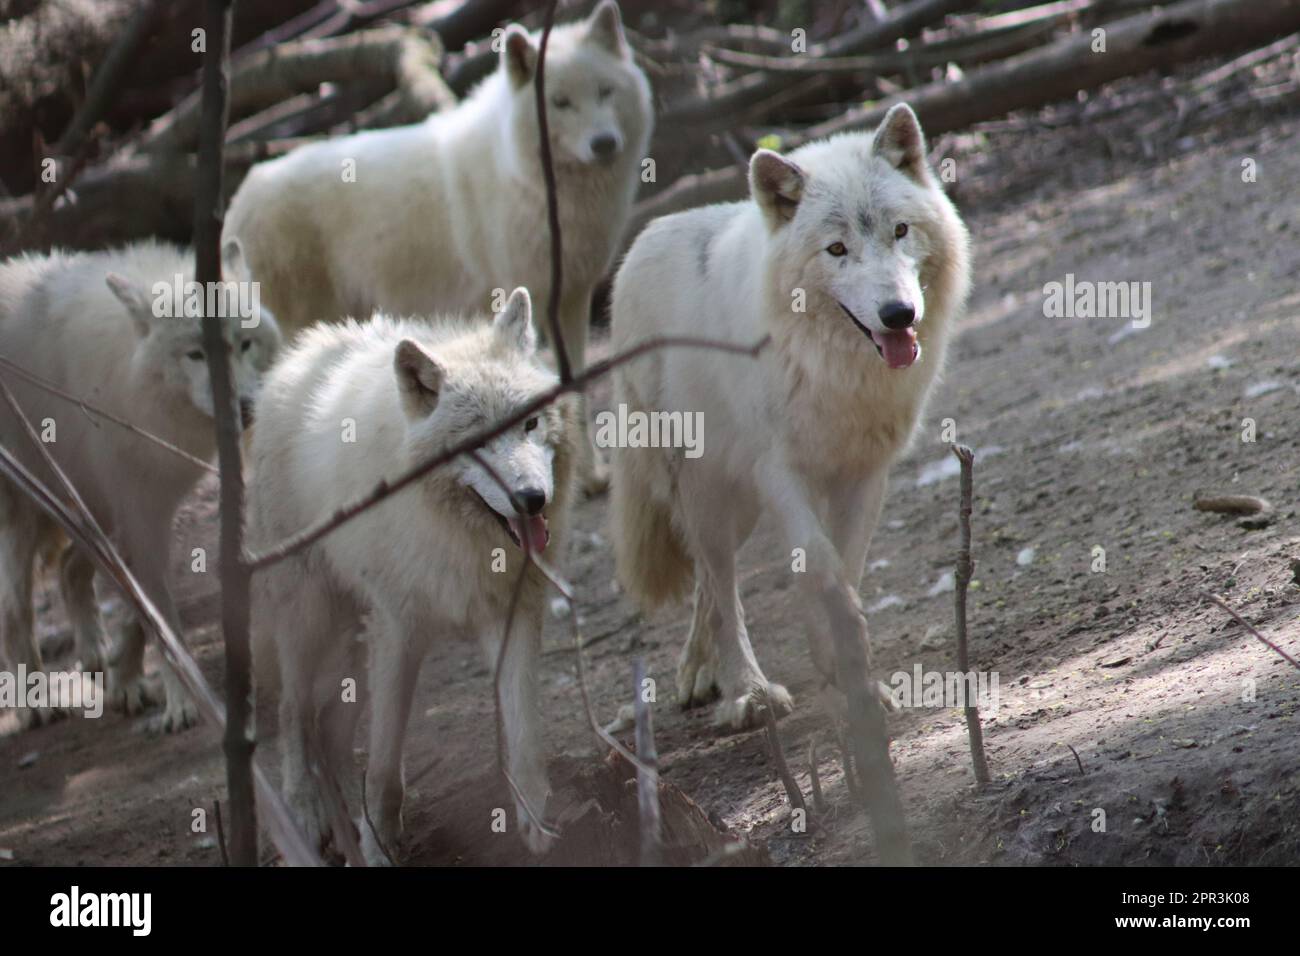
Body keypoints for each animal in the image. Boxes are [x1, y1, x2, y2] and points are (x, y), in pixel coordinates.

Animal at [0, 239, 281, 732]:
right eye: (197, 354)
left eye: (244, 344)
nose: (247, 407)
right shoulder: (138, 509)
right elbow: (158, 612)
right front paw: (182, 702)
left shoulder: (149, 501)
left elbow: (140, 611)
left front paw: (127, 681)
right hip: (30, 511)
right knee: (14, 608)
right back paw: (33, 703)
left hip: (86, 505)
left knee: (70, 570)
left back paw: (98, 661)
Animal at [224, 0, 652, 493]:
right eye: (560, 103)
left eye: (605, 92)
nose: (604, 143)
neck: (528, 178)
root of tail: (241, 195)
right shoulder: (534, 296)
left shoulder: (573, 297)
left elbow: (575, 384)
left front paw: (593, 475)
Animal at [247, 288, 579, 864]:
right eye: (477, 441)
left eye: (530, 425)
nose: (532, 499)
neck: (461, 534)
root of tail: (297, 355)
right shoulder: (399, 630)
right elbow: (383, 767)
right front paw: (378, 847)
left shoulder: (509, 613)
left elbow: (525, 735)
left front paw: (535, 822)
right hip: (311, 618)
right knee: (293, 712)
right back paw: (307, 813)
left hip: (353, 642)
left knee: (328, 732)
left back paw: (341, 815)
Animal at [609, 104, 972, 730]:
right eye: (836, 249)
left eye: (900, 231)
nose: (899, 314)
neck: (837, 369)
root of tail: (642, 239)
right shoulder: (779, 473)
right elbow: (821, 568)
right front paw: (840, 664)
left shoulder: (865, 474)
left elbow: (845, 566)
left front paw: (846, 672)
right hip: (709, 491)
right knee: (721, 585)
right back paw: (747, 692)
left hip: (739, 507)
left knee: (708, 584)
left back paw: (700, 673)